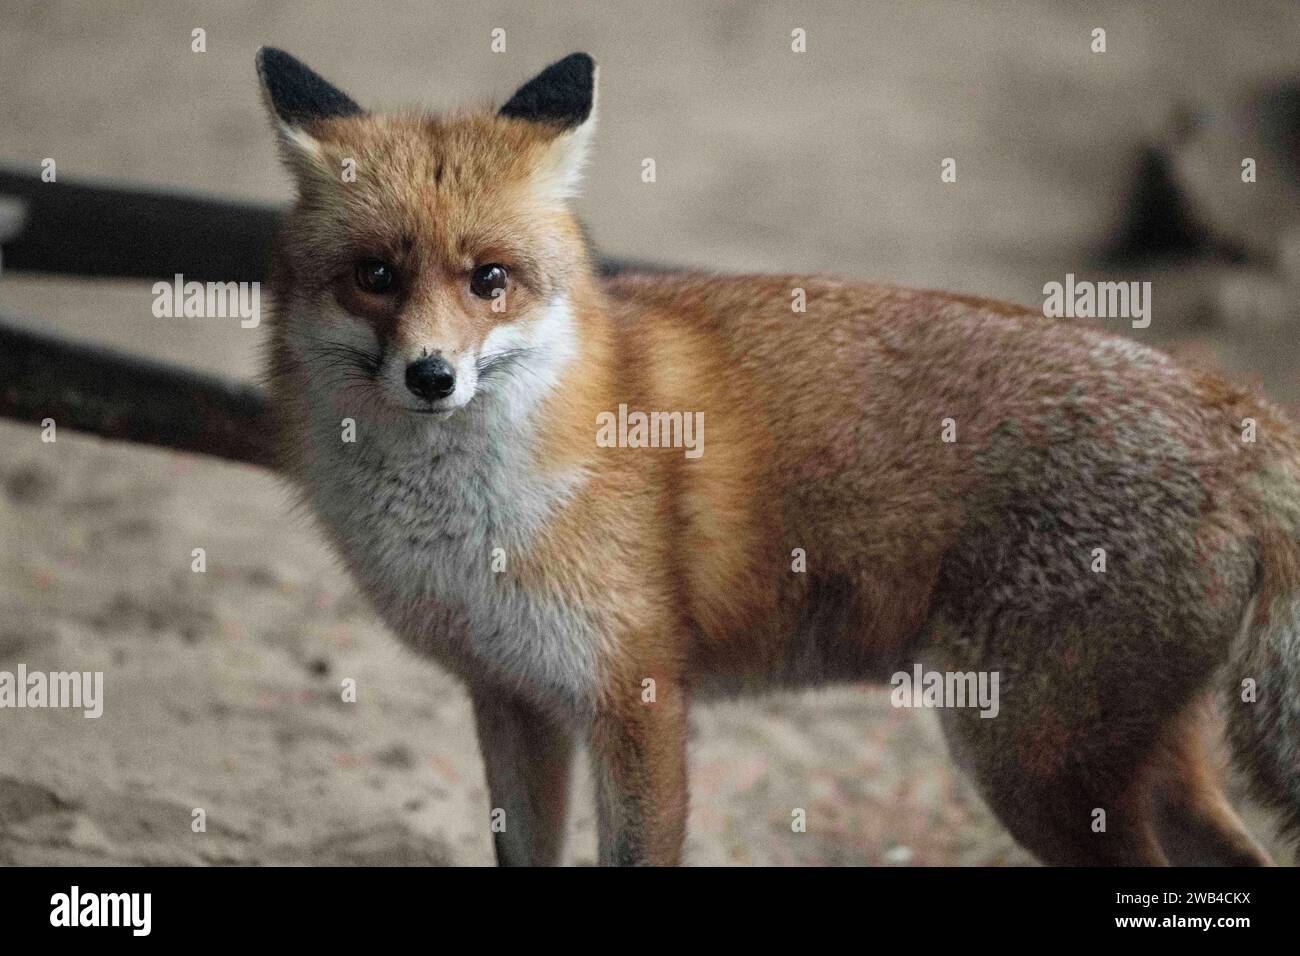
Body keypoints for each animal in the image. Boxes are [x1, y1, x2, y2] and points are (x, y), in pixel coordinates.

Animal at [256, 47, 1300, 866]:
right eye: (374, 277)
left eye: (490, 280)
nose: (432, 376)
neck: (469, 527)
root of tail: (1233, 404)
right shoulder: (513, 699)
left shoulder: (635, 699)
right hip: (1130, 764)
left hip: (1032, 765)